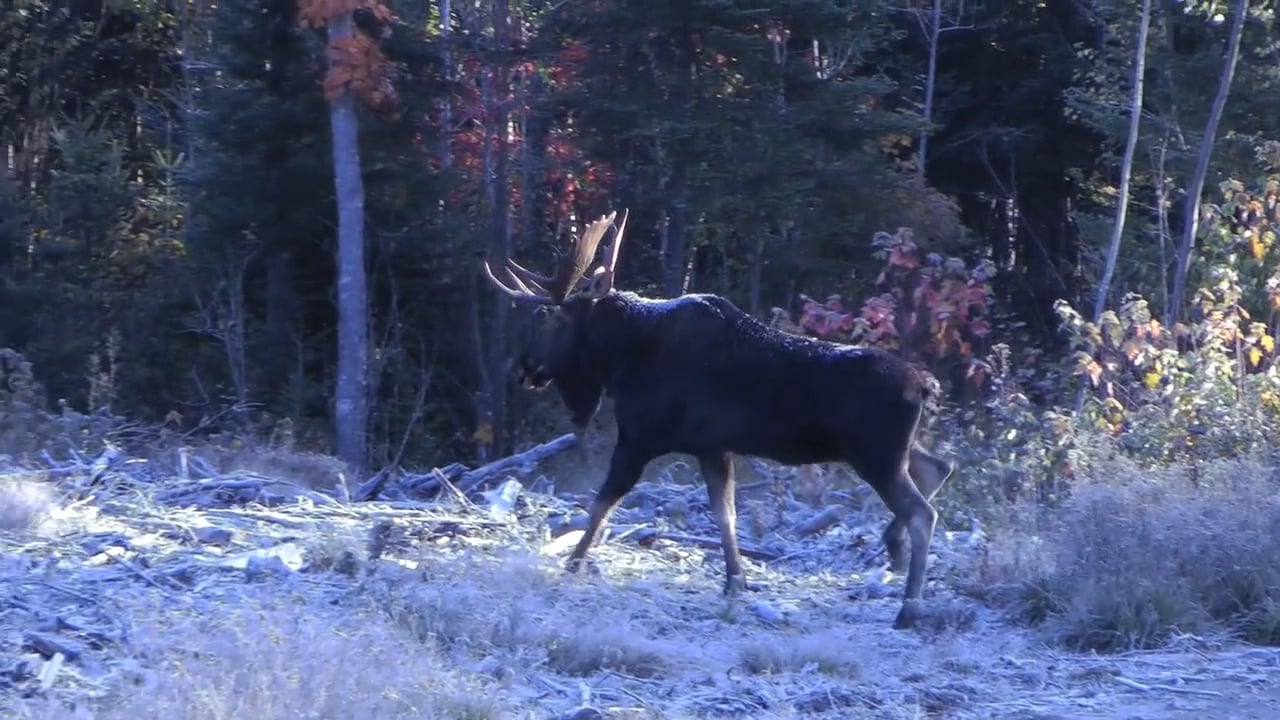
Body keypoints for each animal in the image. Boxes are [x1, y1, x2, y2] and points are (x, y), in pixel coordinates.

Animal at [481, 208, 955, 629]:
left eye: (548, 318)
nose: (525, 369)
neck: (619, 360)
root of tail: (926, 385)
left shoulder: (639, 437)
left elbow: (601, 504)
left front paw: (573, 562)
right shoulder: (712, 447)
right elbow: (724, 513)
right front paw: (735, 581)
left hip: (876, 454)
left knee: (923, 513)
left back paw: (909, 608)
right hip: (896, 449)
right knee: (939, 468)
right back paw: (892, 547)